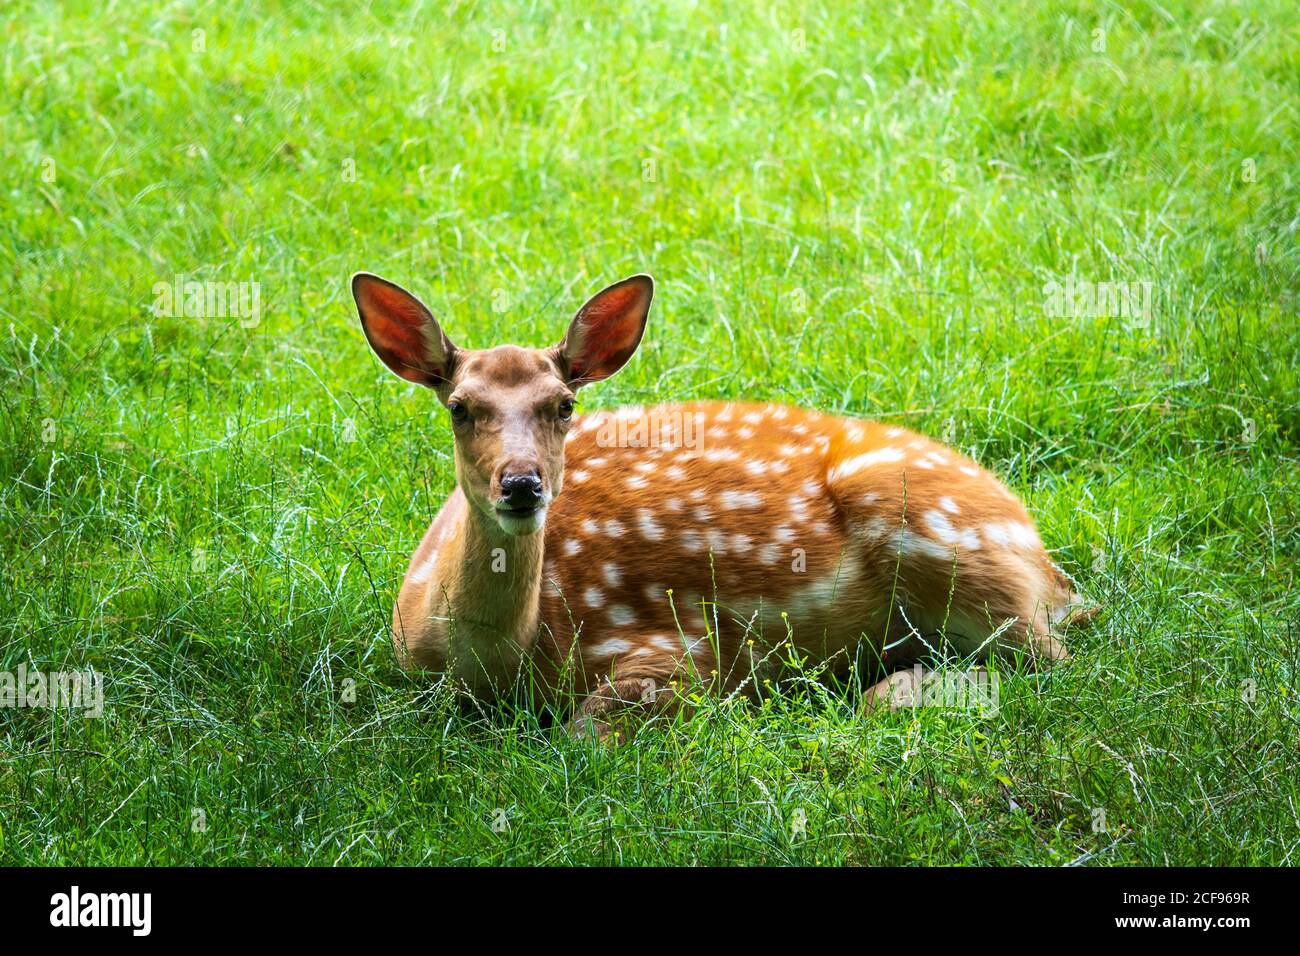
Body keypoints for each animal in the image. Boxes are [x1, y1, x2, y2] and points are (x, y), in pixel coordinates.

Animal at [351, 271, 1093, 740]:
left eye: (563, 405)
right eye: (459, 407)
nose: (522, 484)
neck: (498, 662)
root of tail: (1047, 563)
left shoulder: (674, 647)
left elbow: (584, 732)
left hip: (947, 540)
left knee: (1049, 661)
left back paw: (882, 691)